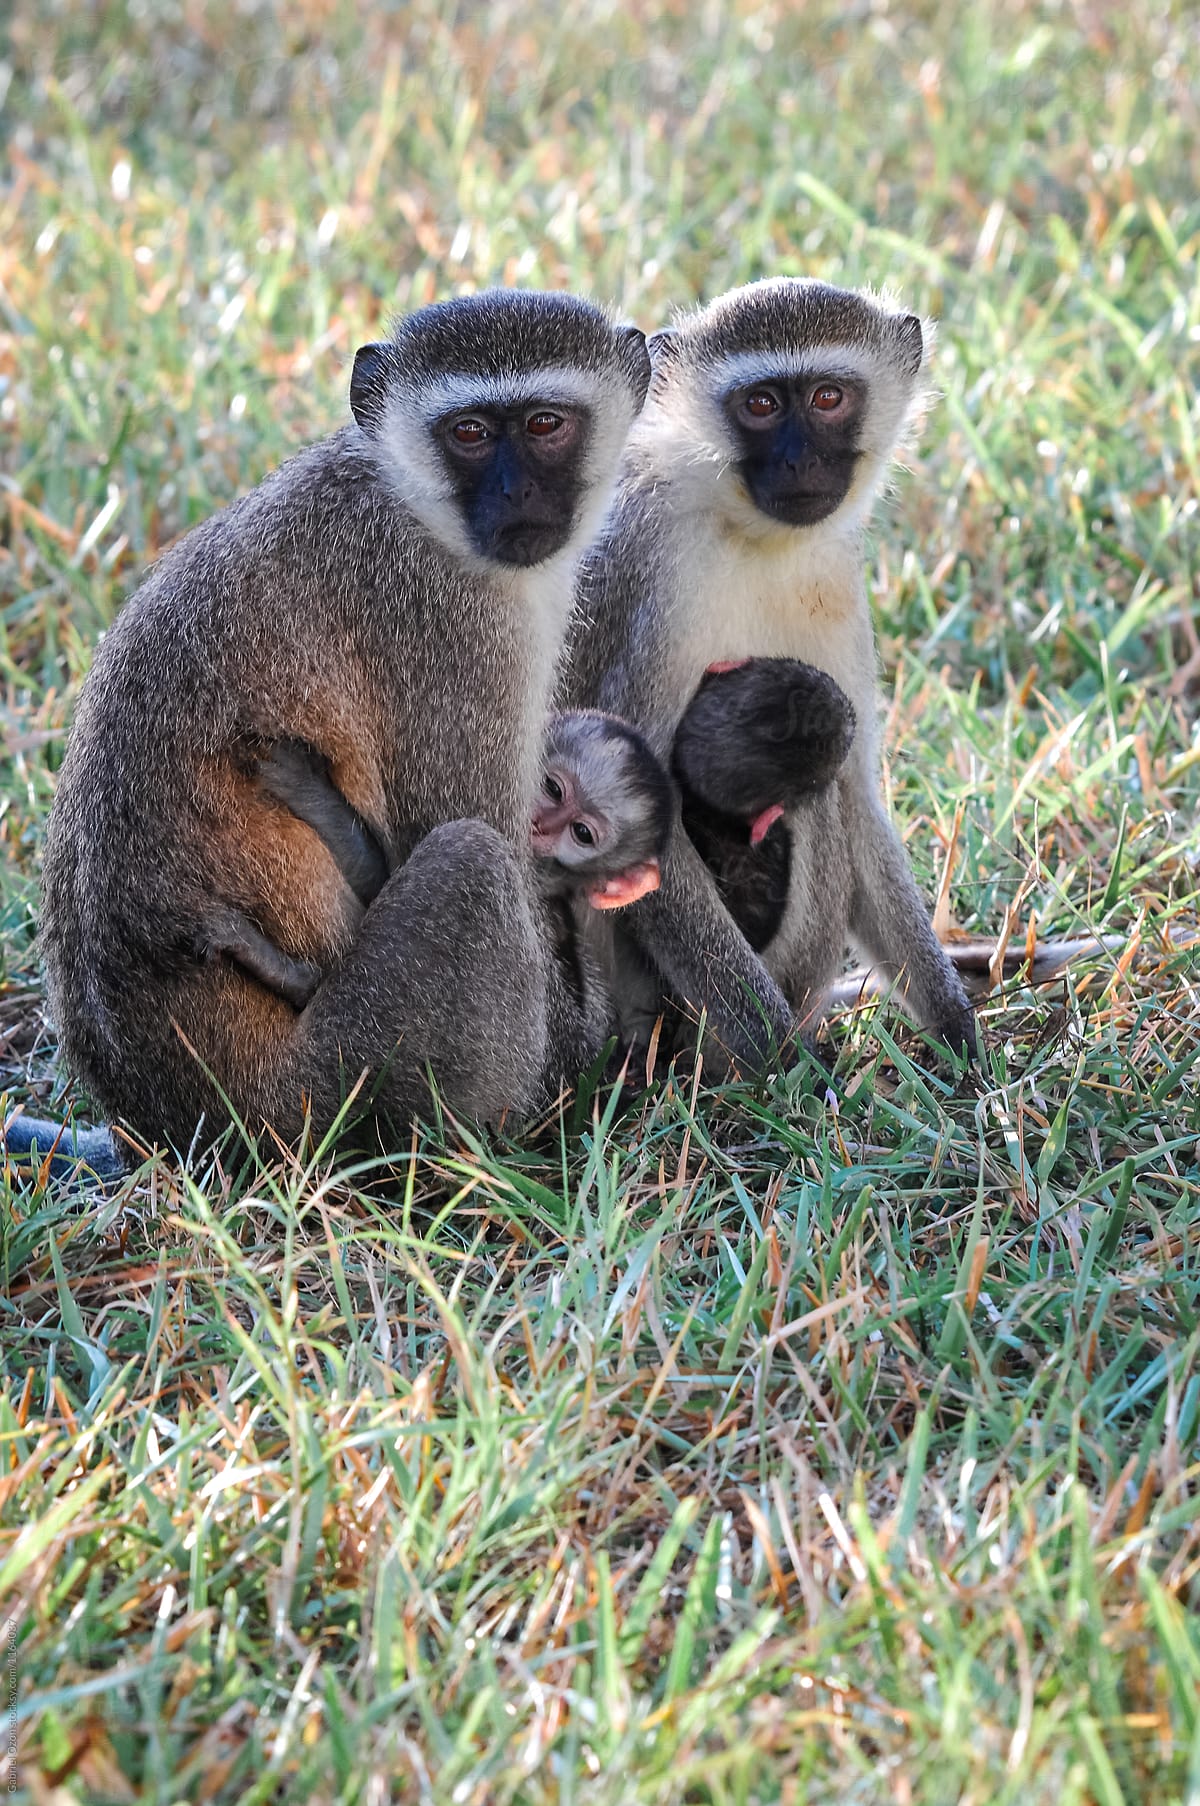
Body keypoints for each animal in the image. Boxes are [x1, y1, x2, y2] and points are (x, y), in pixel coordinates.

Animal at [37, 289, 652, 1163]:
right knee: (470, 859)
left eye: (544, 425)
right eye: (469, 433)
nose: (516, 497)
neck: (409, 499)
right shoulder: (447, 620)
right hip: (342, 1079)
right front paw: (588, 1054)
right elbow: (477, 827)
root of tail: (177, 1128)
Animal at [559, 278, 977, 1067]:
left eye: (827, 398)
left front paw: (959, 1037)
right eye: (760, 405)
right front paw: (787, 1071)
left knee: (823, 784)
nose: (798, 463)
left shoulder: (835, 579)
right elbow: (640, 812)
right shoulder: (657, 578)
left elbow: (856, 793)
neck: (752, 535)